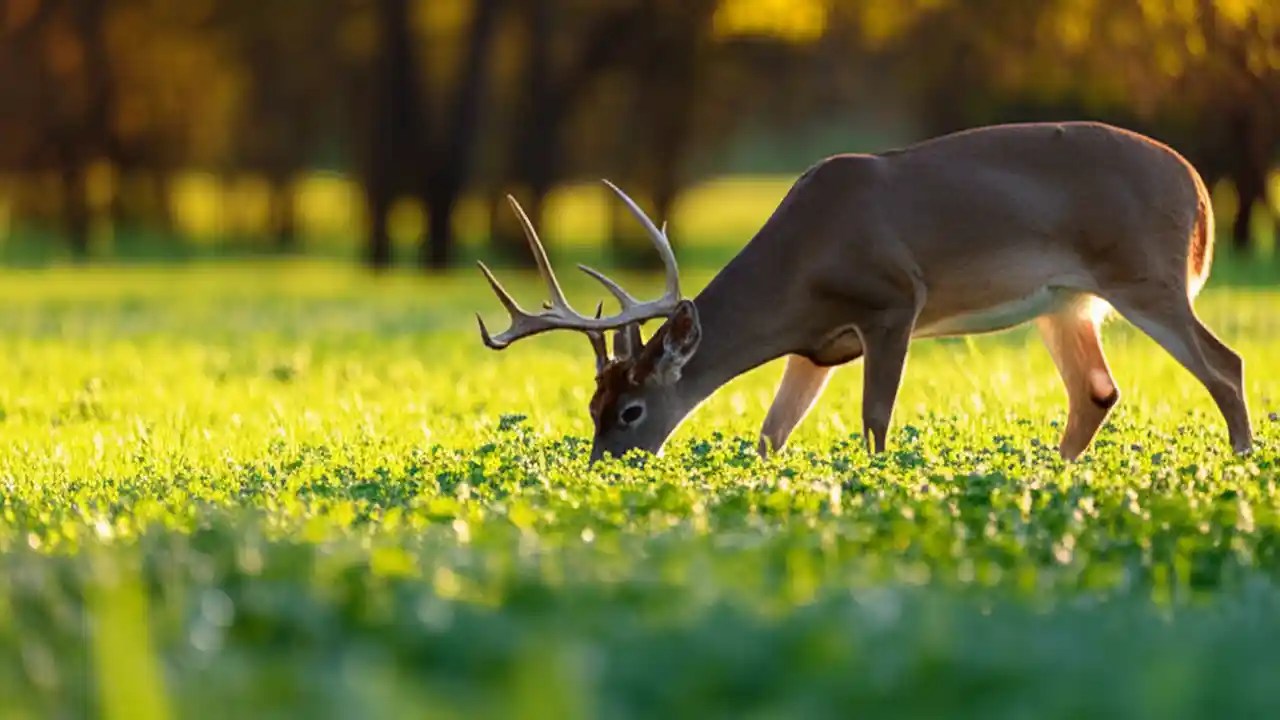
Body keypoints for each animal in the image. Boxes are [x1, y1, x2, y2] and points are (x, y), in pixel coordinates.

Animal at [476, 122, 1253, 464]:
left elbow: (876, 417)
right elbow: (771, 433)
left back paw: (1244, 462)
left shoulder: (893, 301)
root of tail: (1197, 190)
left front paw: (876, 486)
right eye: (592, 406)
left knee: (1225, 364)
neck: (804, 259)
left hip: (1146, 276)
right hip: (1067, 302)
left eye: (632, 410)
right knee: (1096, 391)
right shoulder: (815, 347)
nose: (602, 466)